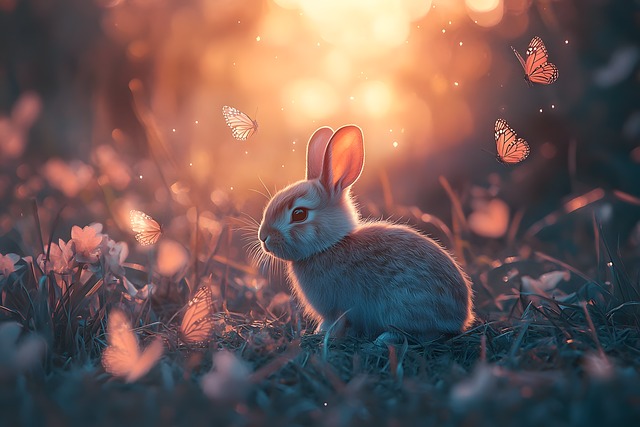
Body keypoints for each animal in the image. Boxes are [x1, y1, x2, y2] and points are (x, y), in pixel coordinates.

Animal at [258, 125, 474, 340]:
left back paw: (384, 339)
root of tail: (461, 316)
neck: (328, 246)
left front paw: (325, 333)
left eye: (299, 214)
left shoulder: (335, 309)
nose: (263, 237)